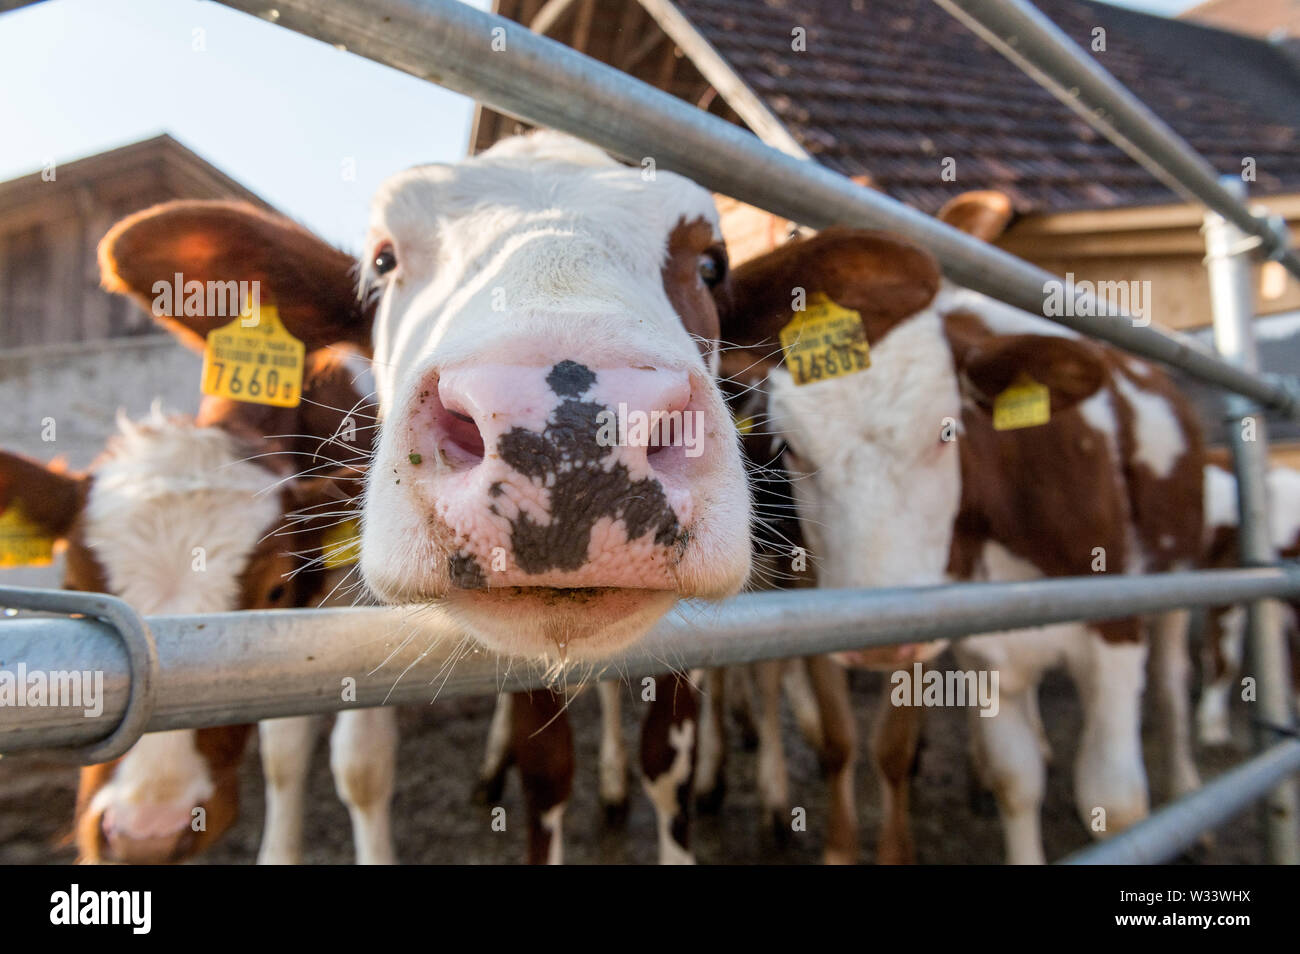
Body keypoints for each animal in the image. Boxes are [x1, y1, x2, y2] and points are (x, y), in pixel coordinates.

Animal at [716, 191, 1205, 864]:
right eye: (789, 446)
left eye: (949, 429)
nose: (879, 641)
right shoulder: (980, 647)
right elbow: (1014, 779)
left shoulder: (1115, 630)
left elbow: (1117, 800)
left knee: (1172, 687)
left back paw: (1188, 789)